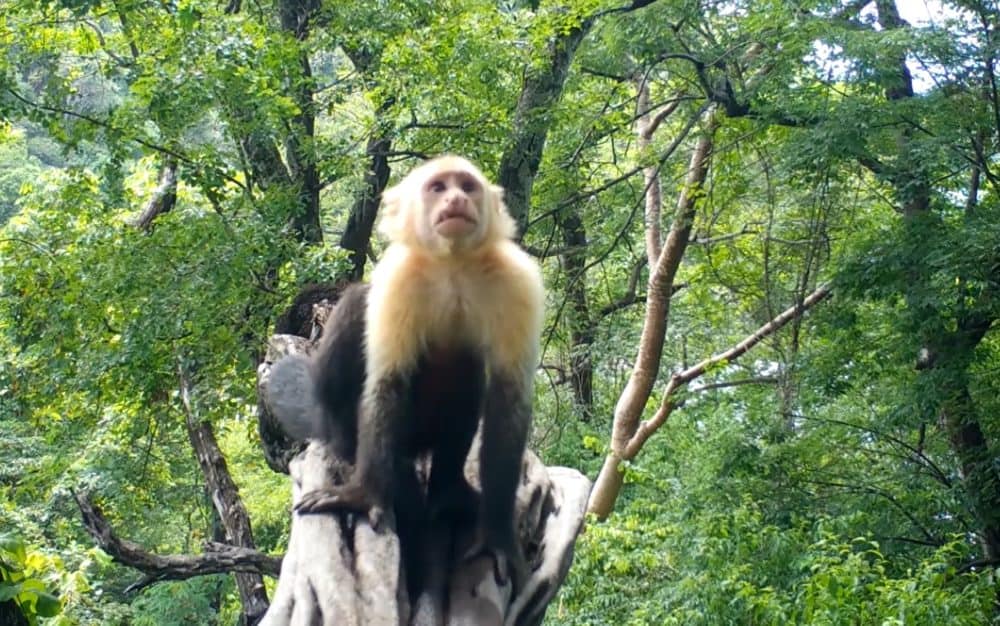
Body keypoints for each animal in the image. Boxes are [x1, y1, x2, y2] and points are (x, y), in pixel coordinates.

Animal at [287, 155, 545, 593]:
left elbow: (508, 400)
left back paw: (447, 491)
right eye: (438, 187)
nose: (457, 199)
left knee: (466, 367)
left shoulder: (518, 281)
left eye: (467, 186)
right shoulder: (398, 278)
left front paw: (496, 534)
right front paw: (365, 494)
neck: (453, 265)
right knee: (357, 305)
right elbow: (386, 383)